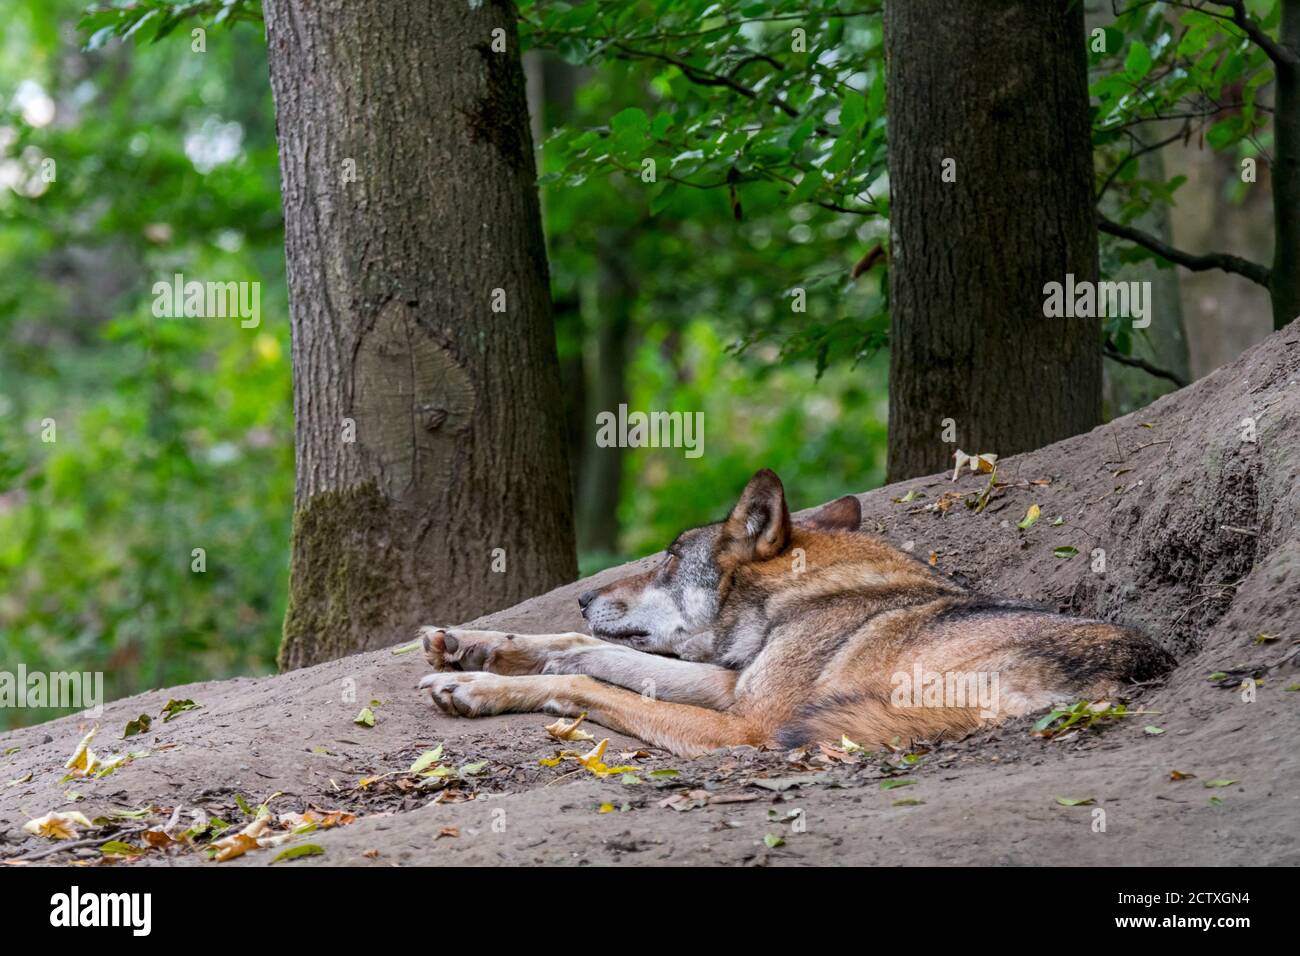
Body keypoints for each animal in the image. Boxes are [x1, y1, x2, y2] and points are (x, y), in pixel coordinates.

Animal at [416, 469, 1174, 756]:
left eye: (669, 557)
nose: (582, 594)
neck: (797, 602)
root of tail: (1132, 678)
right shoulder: (734, 684)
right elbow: (580, 648)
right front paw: (471, 650)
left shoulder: (745, 722)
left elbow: (585, 680)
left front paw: (475, 685)